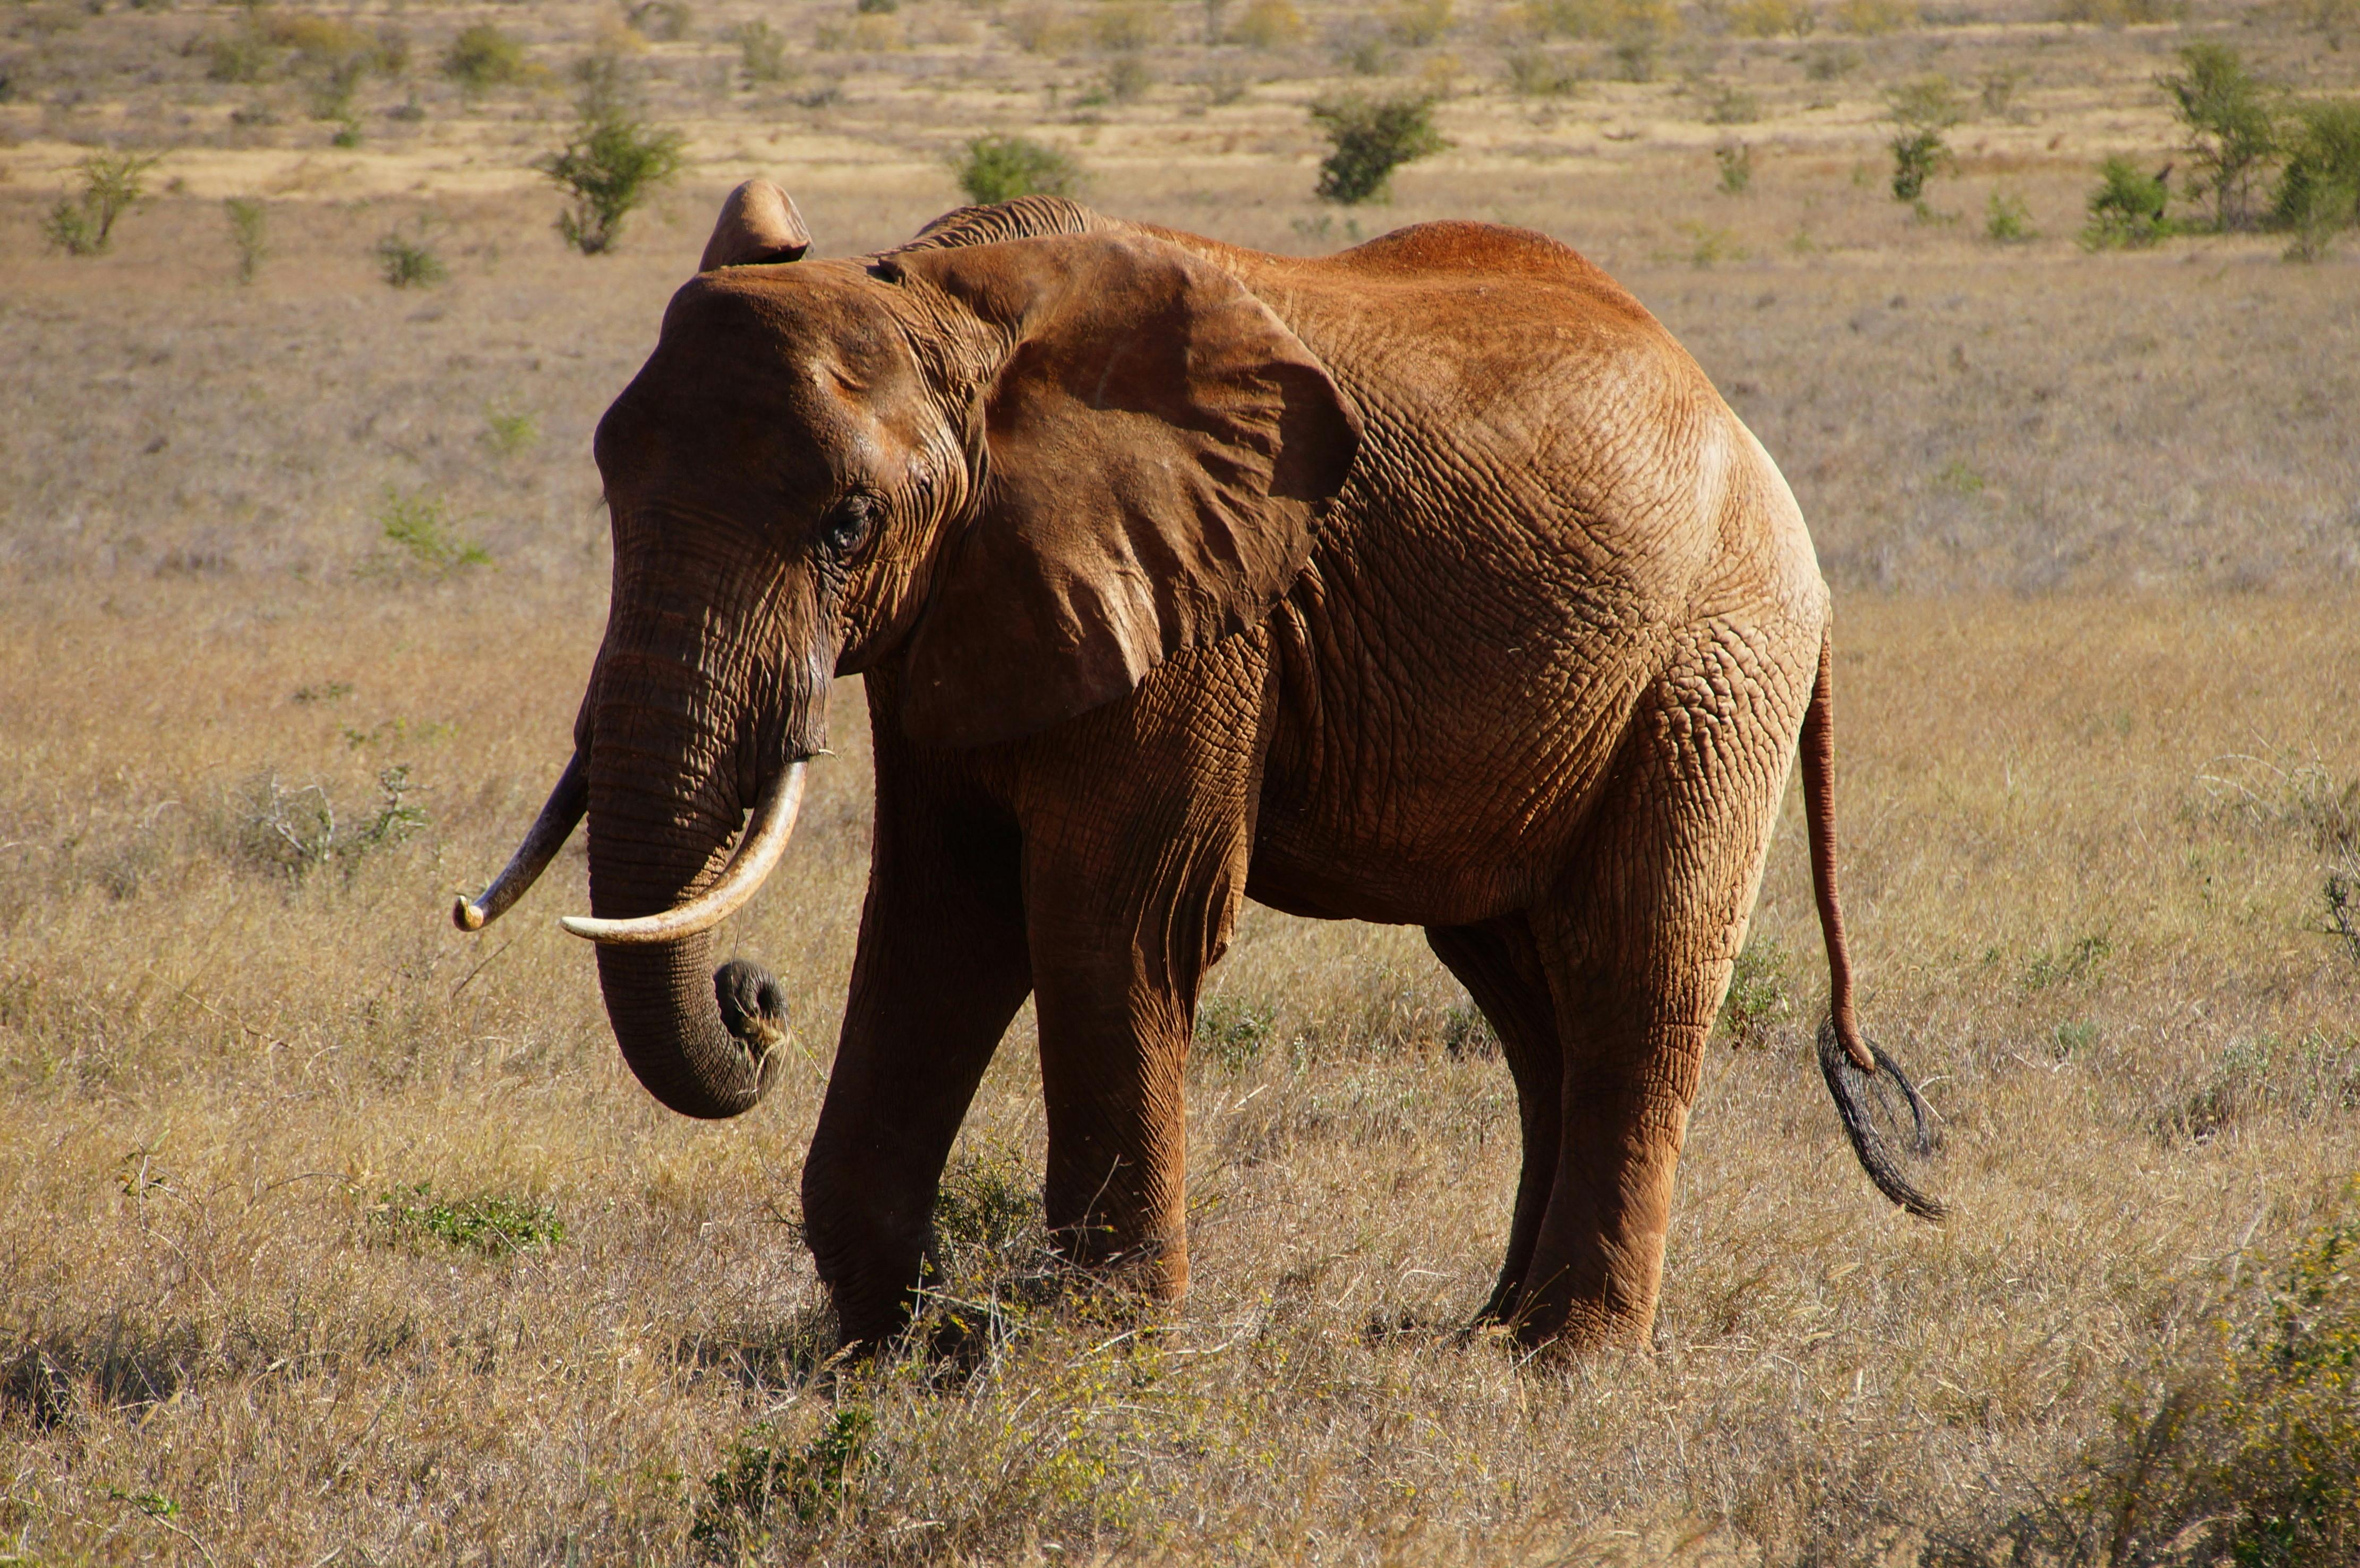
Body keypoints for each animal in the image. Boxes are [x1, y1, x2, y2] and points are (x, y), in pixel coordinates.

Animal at [454, 179, 1942, 1353]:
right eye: (607, 487)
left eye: (846, 524)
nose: (755, 996)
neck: (954, 307)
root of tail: (1748, 442)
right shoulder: (973, 602)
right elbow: (941, 915)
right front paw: (901, 1344)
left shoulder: (1202, 608)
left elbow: (1115, 915)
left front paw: (1091, 1347)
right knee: (1528, 996)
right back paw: (1488, 1333)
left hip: (1712, 655)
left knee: (1634, 966)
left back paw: (1566, 1364)